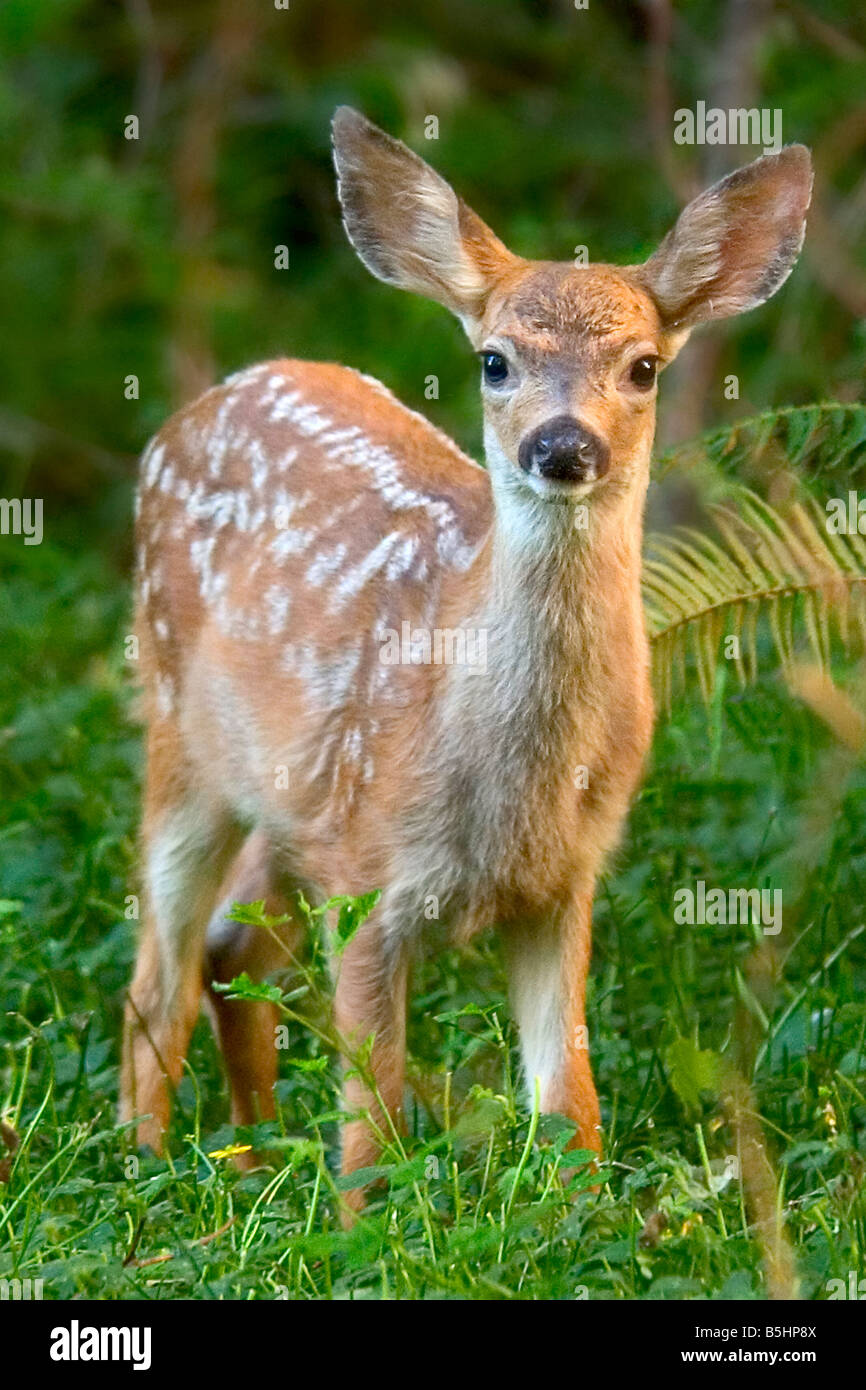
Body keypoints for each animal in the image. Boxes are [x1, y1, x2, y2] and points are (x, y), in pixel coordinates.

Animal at [120, 108, 812, 1212]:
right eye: (493, 361)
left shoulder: (567, 879)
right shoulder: (367, 873)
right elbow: (370, 1122)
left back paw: (253, 1153)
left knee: (234, 943)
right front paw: (360, 1227)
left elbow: (568, 1098)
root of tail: (222, 388)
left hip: (289, 797)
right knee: (159, 972)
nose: (562, 446)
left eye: (644, 366)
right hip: (179, 735)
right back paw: (142, 1166)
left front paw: (588, 1220)